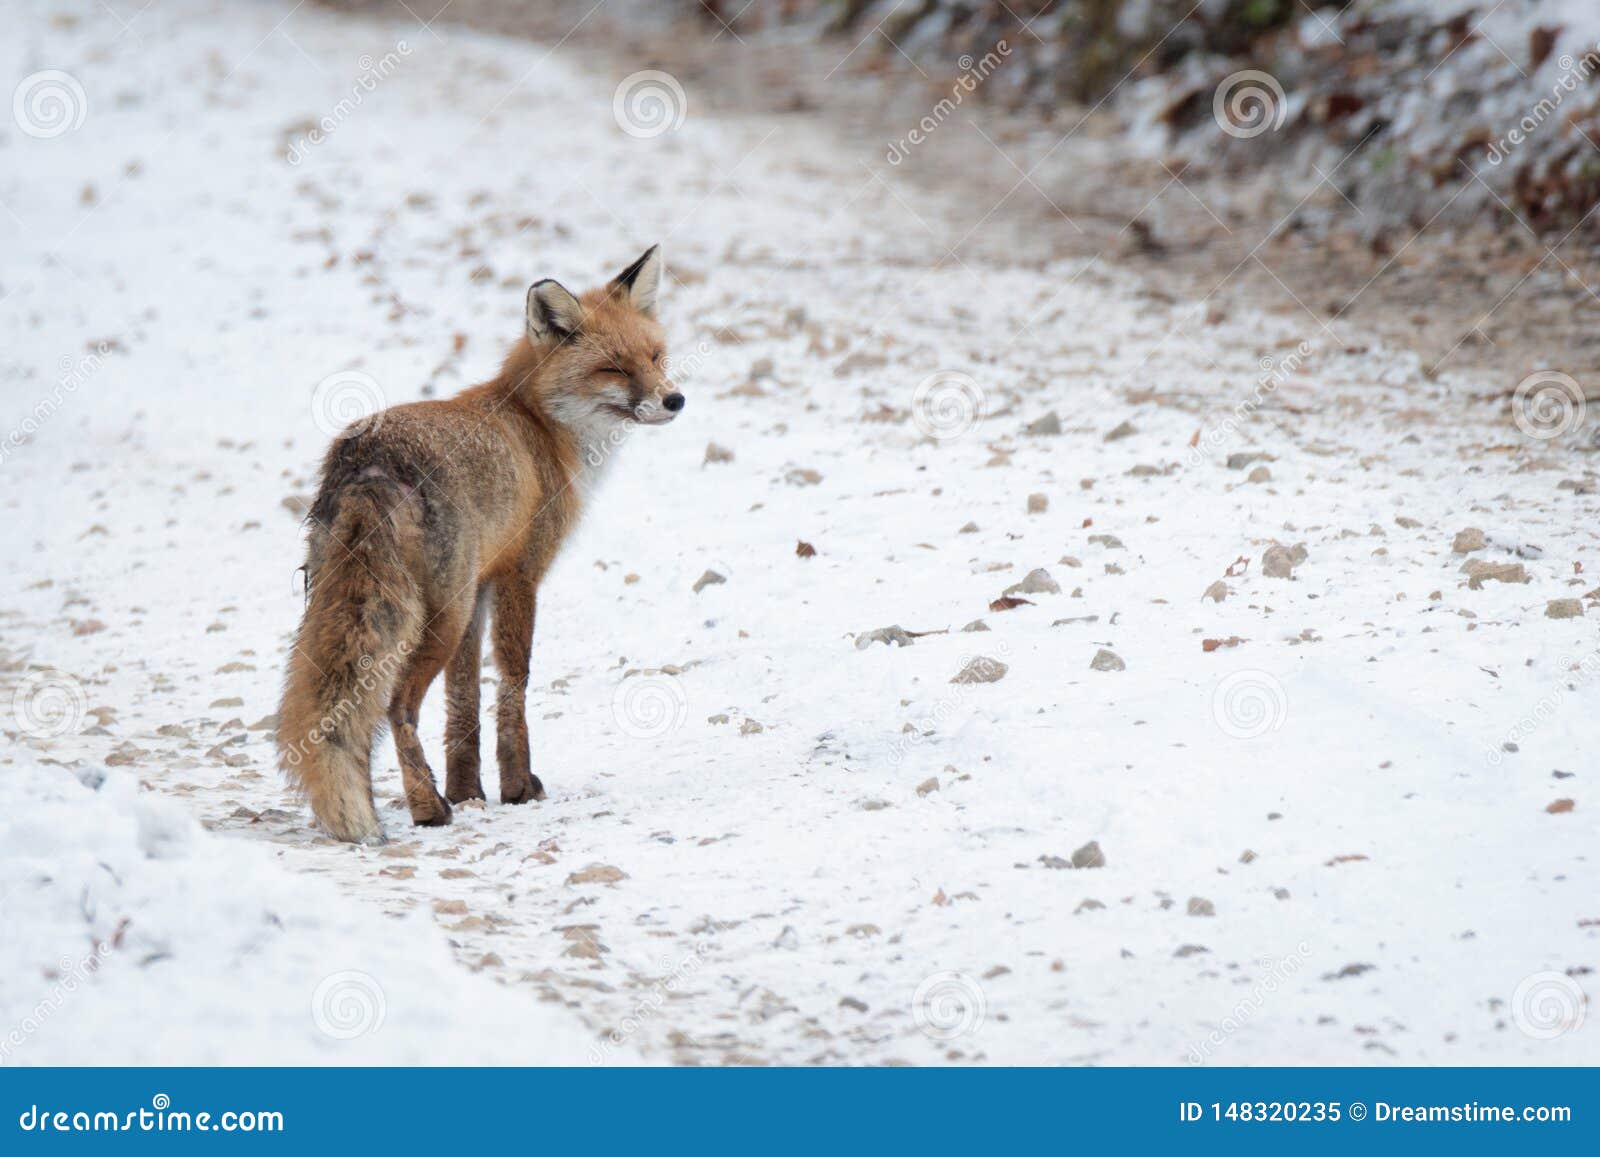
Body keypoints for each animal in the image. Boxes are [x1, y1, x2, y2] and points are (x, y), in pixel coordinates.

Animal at [277, 245, 681, 844]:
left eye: (655, 357)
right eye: (613, 368)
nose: (675, 399)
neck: (540, 428)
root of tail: (372, 457)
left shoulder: (483, 584)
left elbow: (464, 697)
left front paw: (468, 789)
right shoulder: (520, 573)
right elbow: (514, 681)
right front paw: (516, 788)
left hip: (374, 597)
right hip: (438, 614)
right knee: (396, 705)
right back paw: (427, 807)